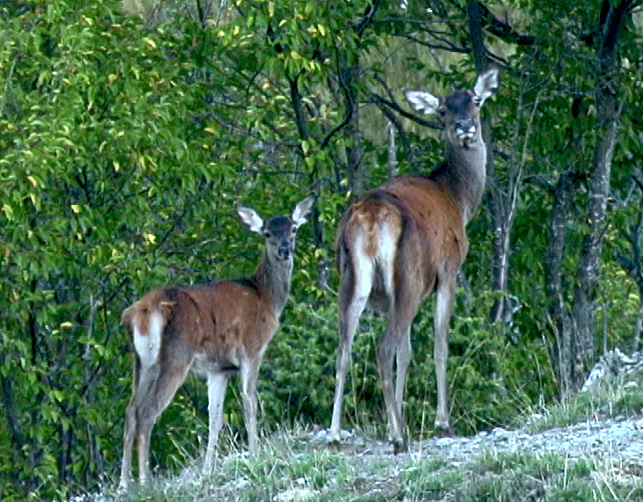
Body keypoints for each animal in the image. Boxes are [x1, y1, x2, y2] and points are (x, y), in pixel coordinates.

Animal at [118, 195, 314, 488]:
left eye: (293, 229)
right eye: (267, 233)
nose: (284, 250)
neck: (266, 298)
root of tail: (141, 312)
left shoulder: (218, 368)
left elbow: (215, 416)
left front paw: (207, 468)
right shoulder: (252, 349)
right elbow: (249, 402)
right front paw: (255, 454)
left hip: (142, 362)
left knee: (131, 411)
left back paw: (123, 484)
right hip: (177, 356)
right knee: (147, 412)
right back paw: (145, 481)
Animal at [328, 68, 499, 453]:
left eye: (475, 100)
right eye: (442, 111)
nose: (465, 127)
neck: (459, 201)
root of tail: (371, 218)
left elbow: (405, 354)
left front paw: (398, 417)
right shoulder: (447, 271)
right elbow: (439, 344)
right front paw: (441, 421)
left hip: (352, 280)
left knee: (345, 349)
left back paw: (335, 434)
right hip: (407, 276)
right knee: (382, 347)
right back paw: (399, 439)